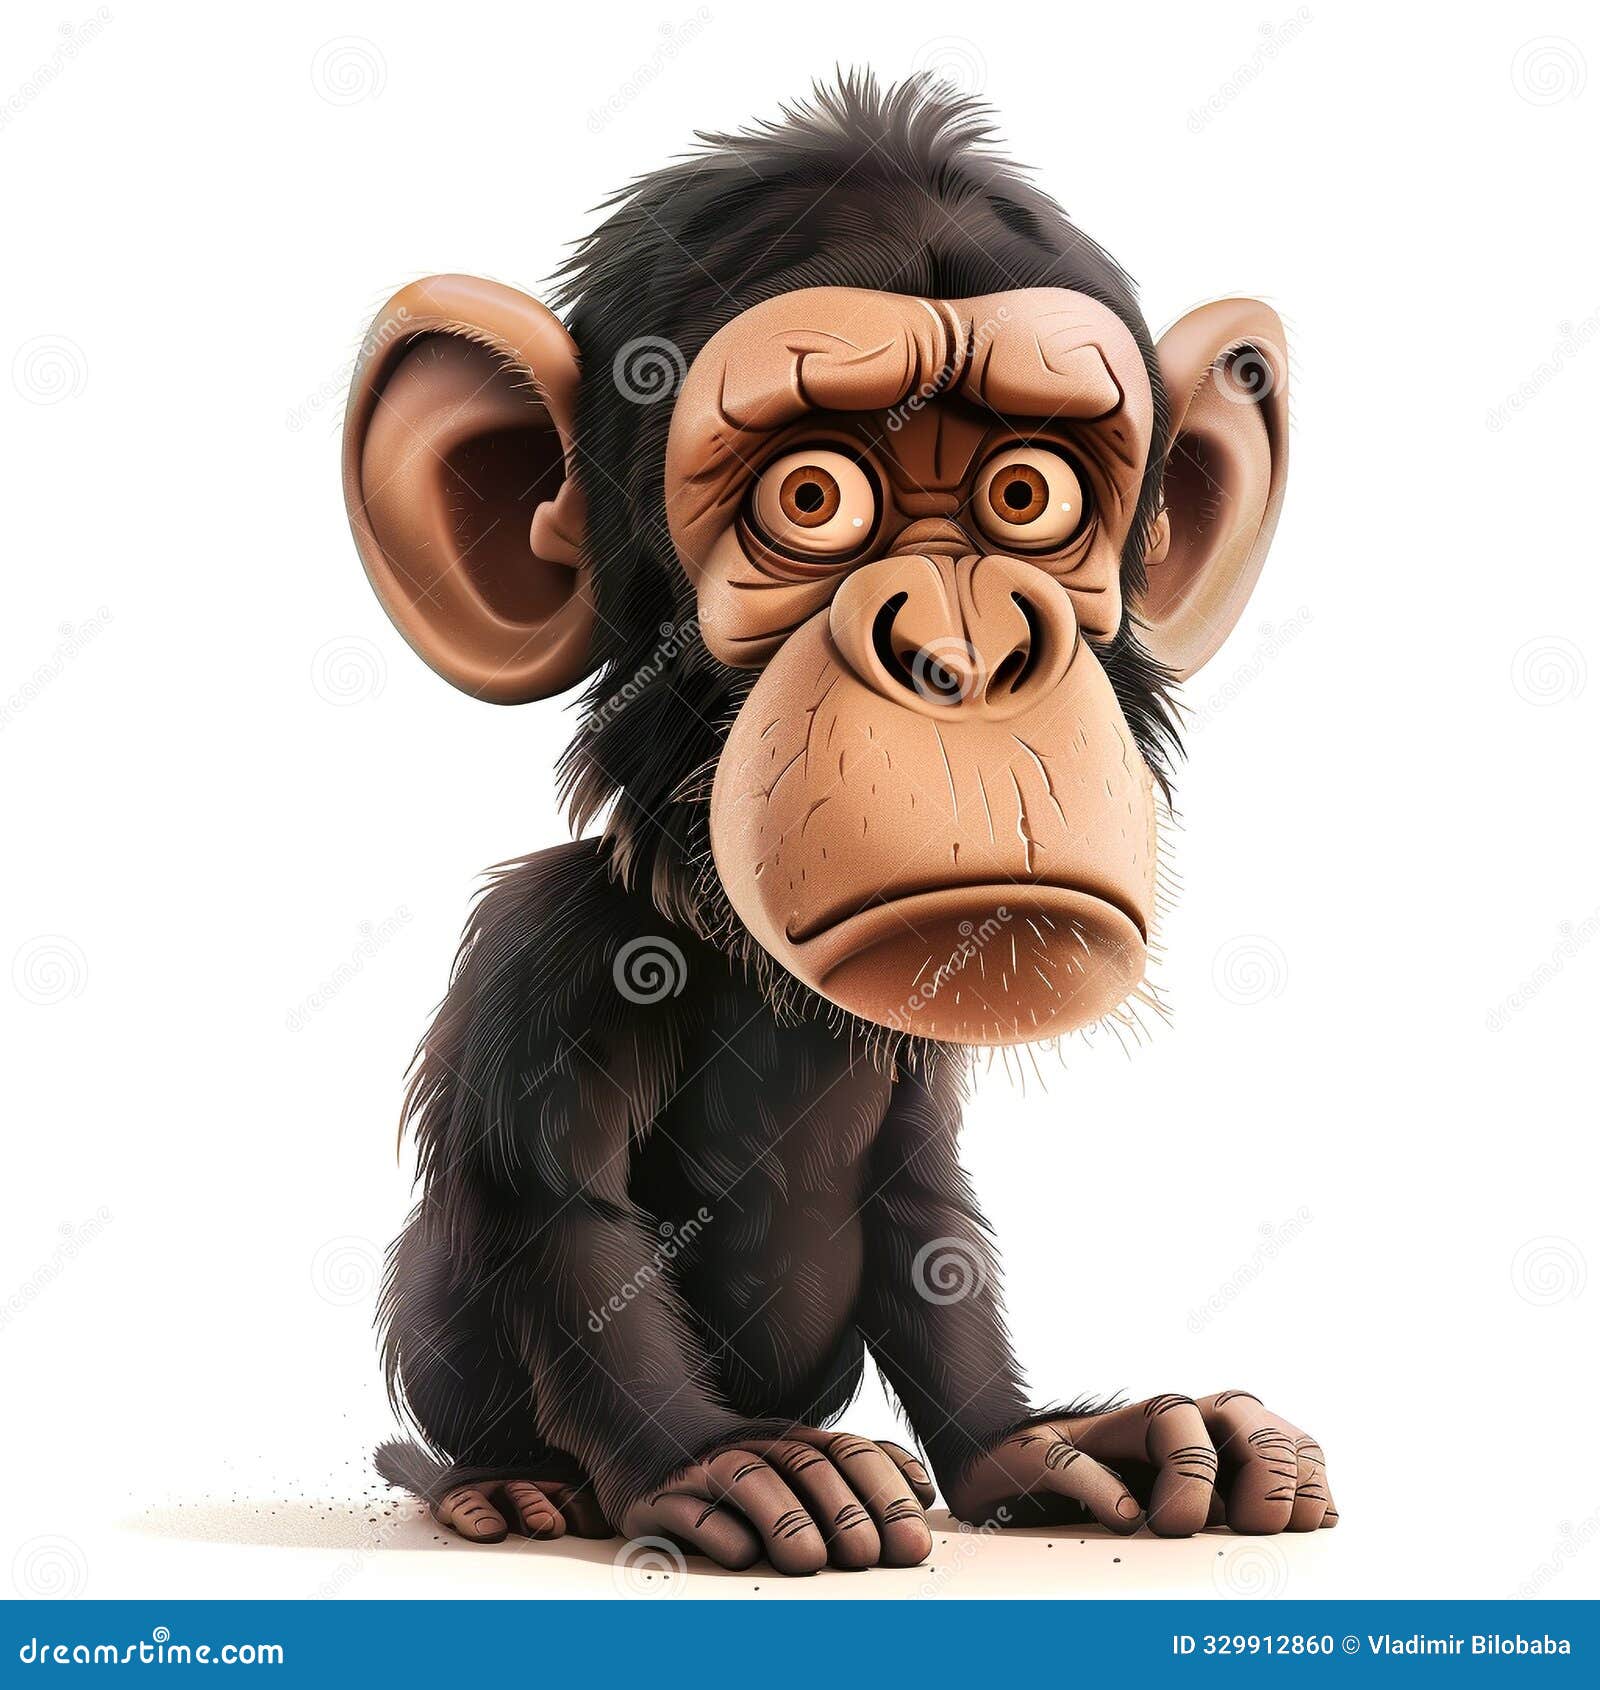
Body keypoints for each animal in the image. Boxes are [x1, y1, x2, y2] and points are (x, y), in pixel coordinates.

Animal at [341, 73, 1332, 1575]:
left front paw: (1050, 1446)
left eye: (1027, 494)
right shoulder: (544, 944)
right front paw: (719, 1467)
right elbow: (563, 1217)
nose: (962, 653)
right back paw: (496, 1483)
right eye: (813, 498)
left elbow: (924, 1213)